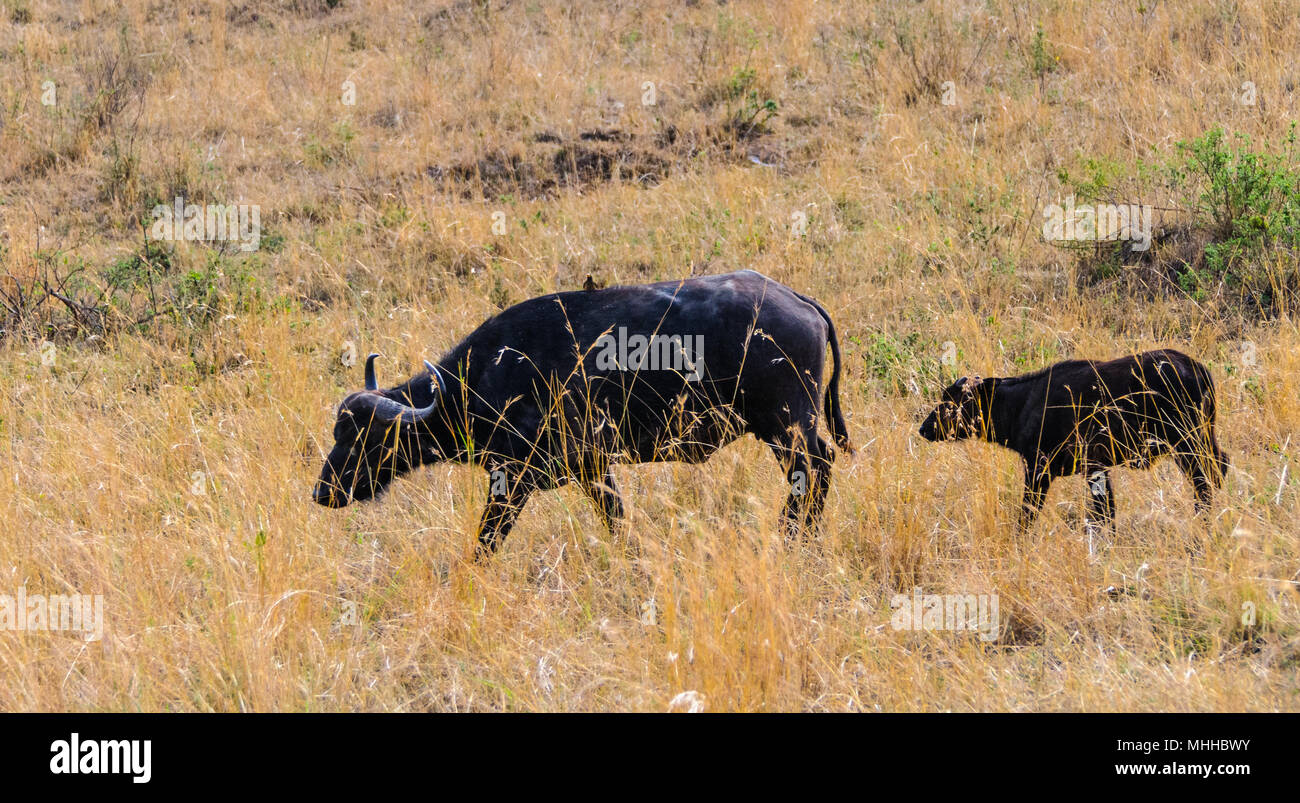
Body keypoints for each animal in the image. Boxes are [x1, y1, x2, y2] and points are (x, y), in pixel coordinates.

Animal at [314, 270, 852, 558]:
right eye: (338, 432)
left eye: (366, 439)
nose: (322, 492)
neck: (491, 375)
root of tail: (796, 300)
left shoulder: (530, 478)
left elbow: (488, 540)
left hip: (787, 427)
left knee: (813, 472)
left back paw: (791, 538)